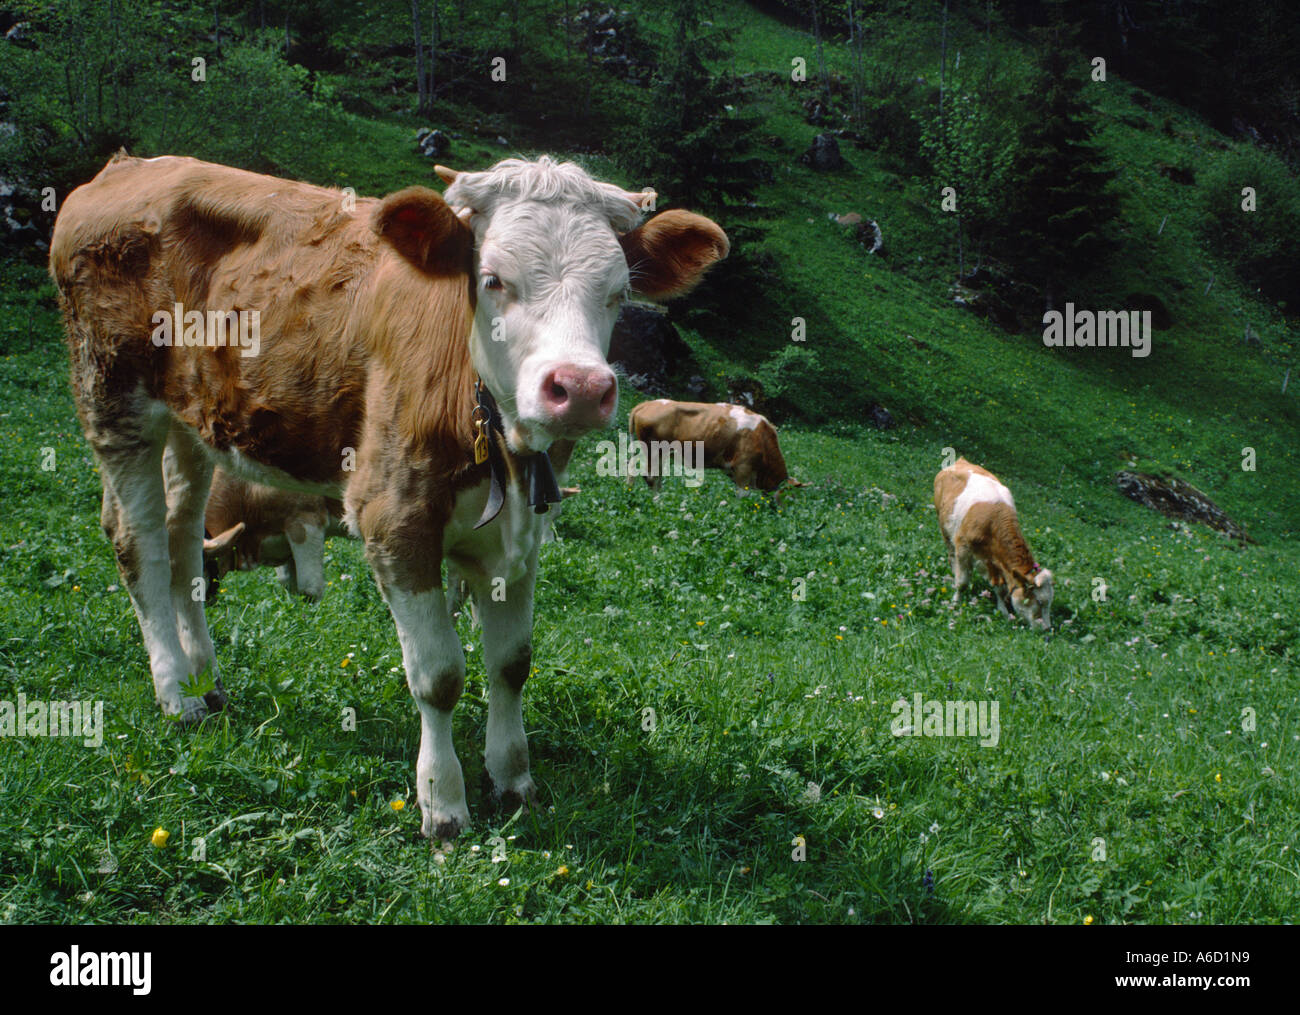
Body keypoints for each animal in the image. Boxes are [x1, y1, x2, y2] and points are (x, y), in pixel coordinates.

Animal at [50, 151, 727, 838]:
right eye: (493, 280)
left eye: (618, 292)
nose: (581, 387)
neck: (500, 441)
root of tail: (129, 166)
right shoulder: (393, 516)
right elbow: (440, 675)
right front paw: (444, 802)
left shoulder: (525, 536)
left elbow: (512, 663)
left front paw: (513, 778)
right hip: (114, 398)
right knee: (137, 541)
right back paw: (175, 694)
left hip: (194, 420)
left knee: (182, 536)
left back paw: (204, 678)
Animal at [933, 457, 1054, 629]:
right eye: (1038, 601)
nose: (1047, 629)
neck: (993, 523)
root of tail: (960, 461)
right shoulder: (964, 549)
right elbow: (962, 583)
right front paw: (955, 602)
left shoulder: (995, 560)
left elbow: (1000, 588)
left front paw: (1003, 611)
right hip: (945, 529)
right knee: (951, 556)